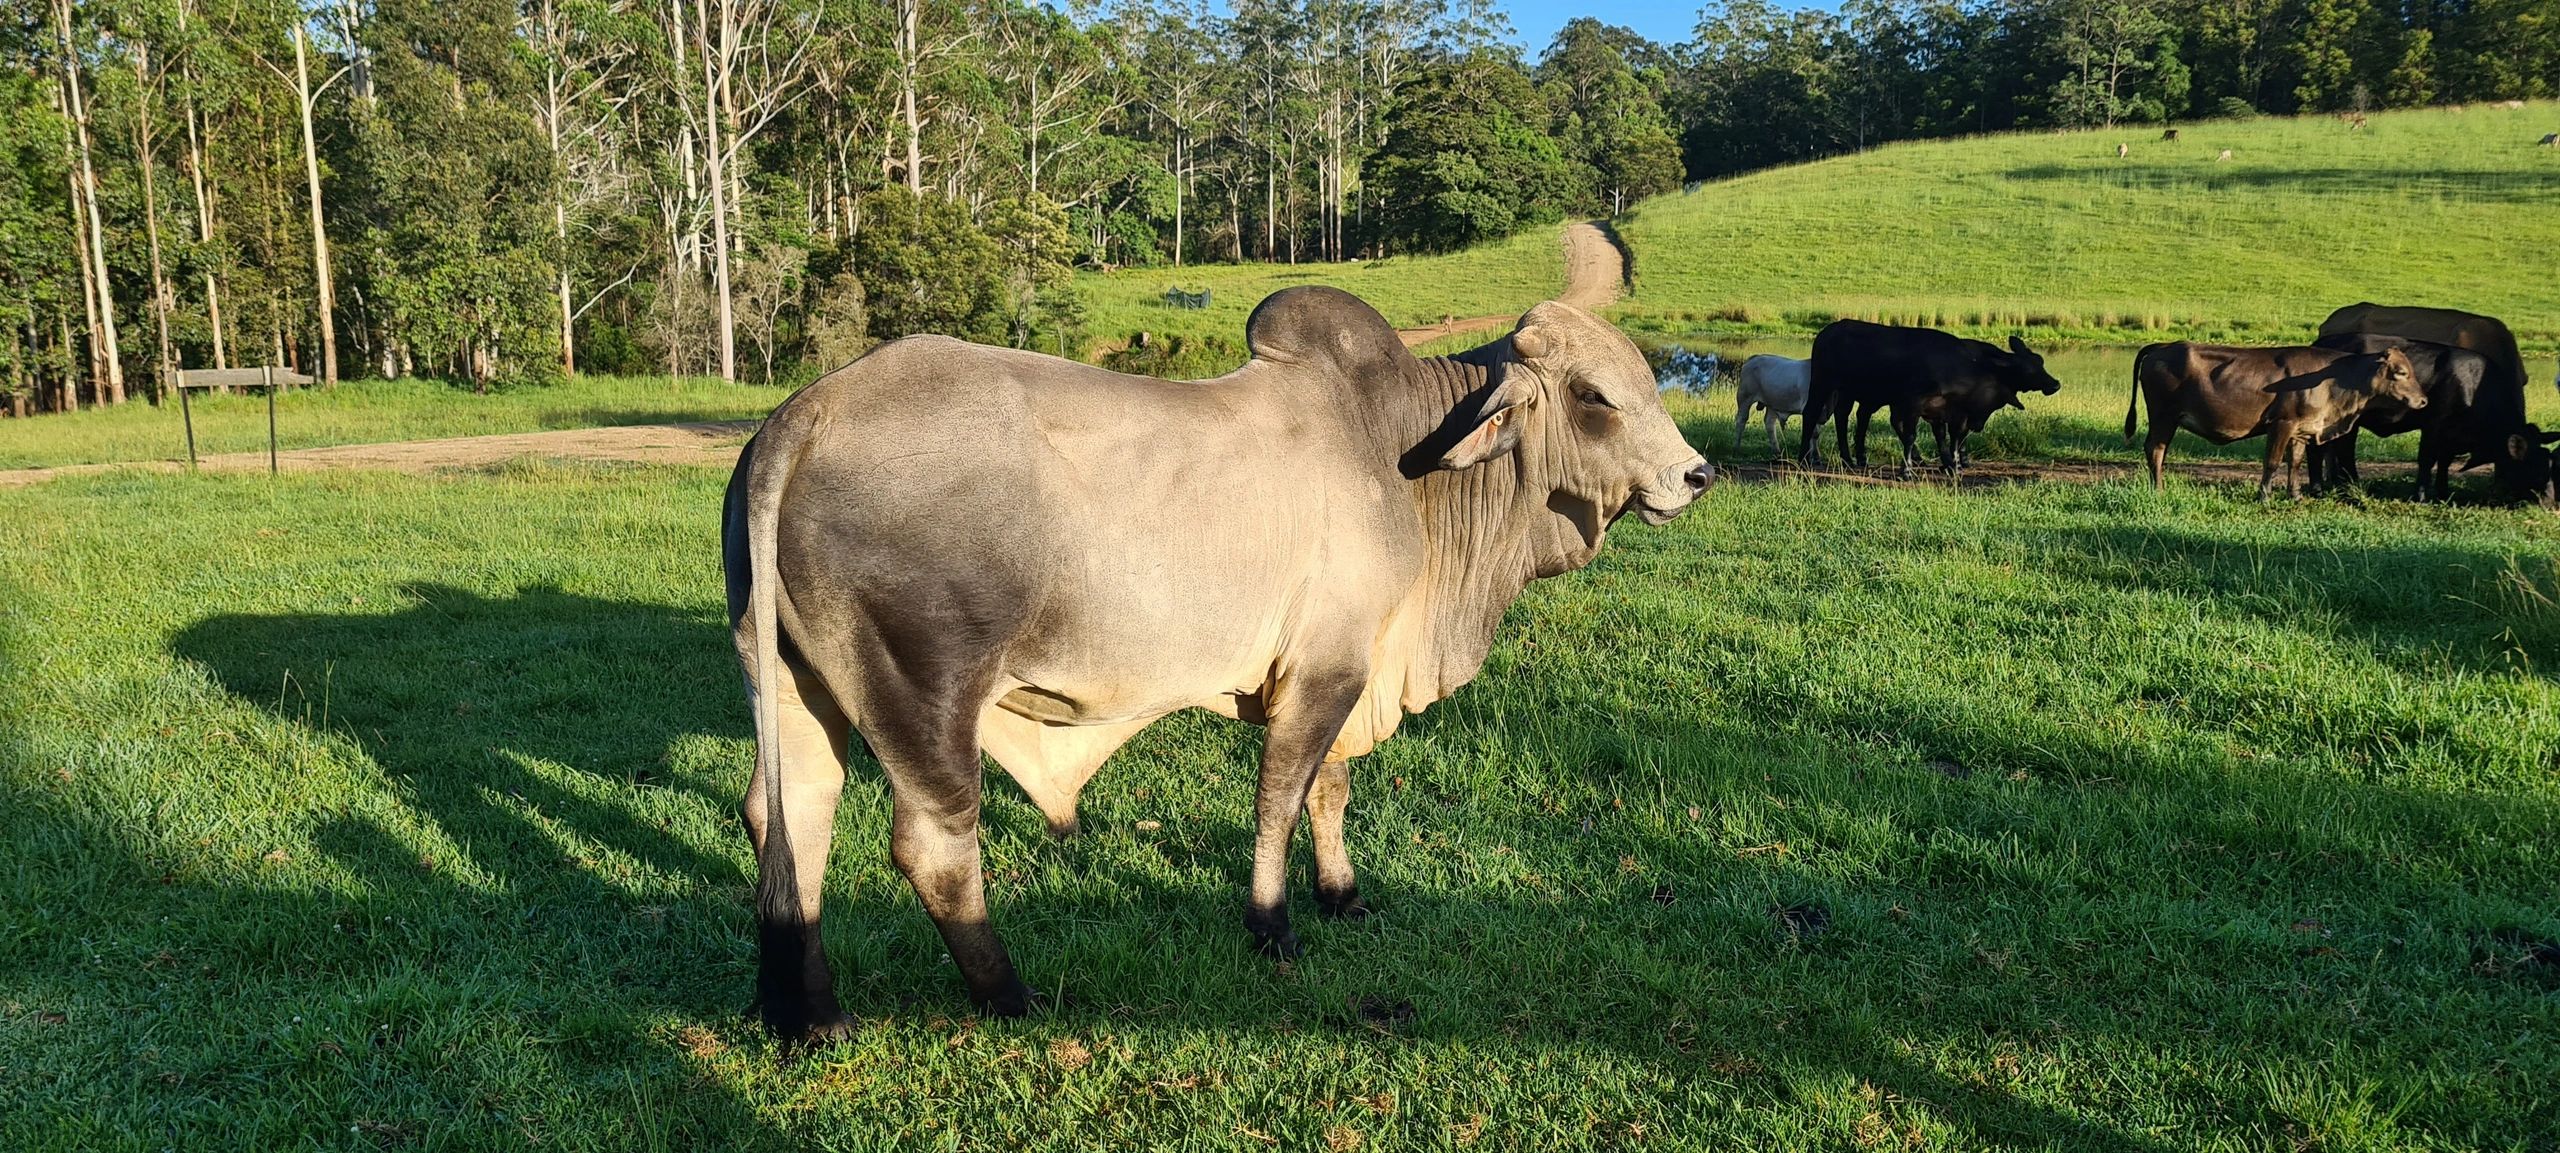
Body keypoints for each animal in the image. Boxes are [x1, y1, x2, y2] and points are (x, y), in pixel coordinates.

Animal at [723, 287, 1712, 1040]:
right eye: (1593, 395)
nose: (1697, 475)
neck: (1400, 452)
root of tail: (805, 413)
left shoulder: (1344, 669)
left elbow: (1328, 788)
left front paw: (1342, 894)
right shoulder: (1324, 668)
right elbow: (1281, 794)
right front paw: (1272, 925)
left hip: (796, 684)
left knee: (787, 817)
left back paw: (809, 1015)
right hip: (924, 692)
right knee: (932, 845)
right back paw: (1010, 995)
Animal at [1796, 320, 2062, 478]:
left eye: (2041, 361)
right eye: (2029, 369)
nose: (2055, 384)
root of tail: (1830, 329)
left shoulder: (1945, 412)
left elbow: (1947, 437)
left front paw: (1951, 463)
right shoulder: (1913, 404)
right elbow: (1912, 435)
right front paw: (1909, 469)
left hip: (1850, 392)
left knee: (1846, 418)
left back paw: (1852, 459)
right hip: (1823, 383)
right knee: (1811, 414)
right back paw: (1804, 459)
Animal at [2126, 342, 2426, 499]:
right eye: (2401, 372)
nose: (2423, 401)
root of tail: (2164, 346)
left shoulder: (2301, 429)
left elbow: (2295, 462)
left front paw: (2295, 495)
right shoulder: (2281, 423)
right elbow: (2271, 461)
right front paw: (2265, 495)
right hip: (2163, 416)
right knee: (2156, 450)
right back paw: (2158, 488)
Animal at [2304, 332, 2490, 501]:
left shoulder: (2448, 439)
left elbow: (2444, 462)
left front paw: (2443, 493)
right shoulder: (2434, 426)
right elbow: (2427, 460)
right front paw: (2421, 496)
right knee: (2335, 451)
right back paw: (2336, 488)